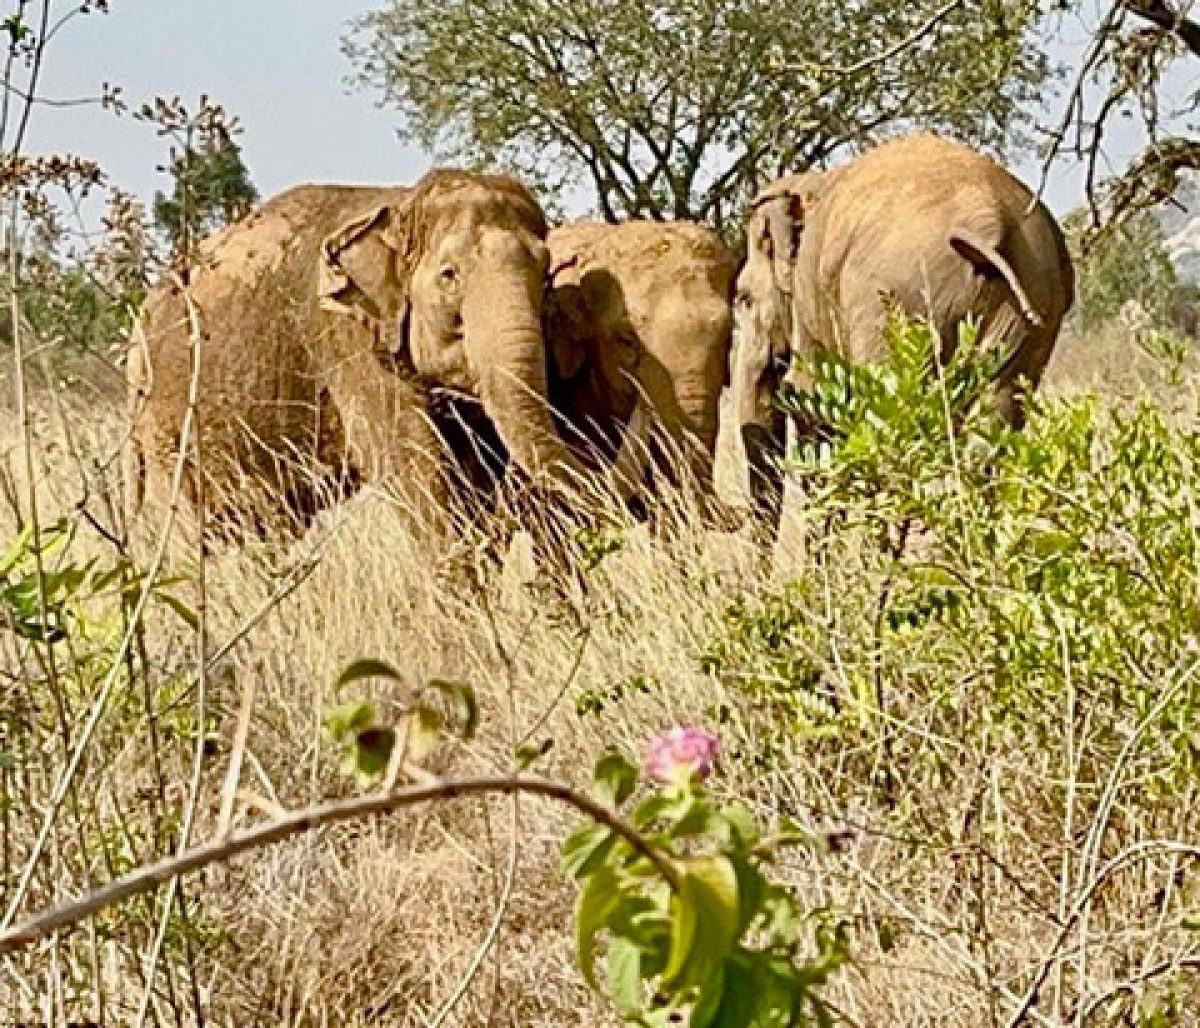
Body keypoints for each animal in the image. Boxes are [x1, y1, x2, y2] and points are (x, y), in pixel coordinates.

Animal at [125, 169, 610, 540]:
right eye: (449, 275)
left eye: (545, 273)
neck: (399, 204)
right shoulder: (345, 340)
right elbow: (417, 472)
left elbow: (476, 470)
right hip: (167, 435)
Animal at [732, 132, 1075, 530]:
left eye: (744, 298)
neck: (810, 183)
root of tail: (988, 222)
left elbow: (811, 399)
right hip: (1034, 301)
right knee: (994, 420)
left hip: (894, 303)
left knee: (894, 424)